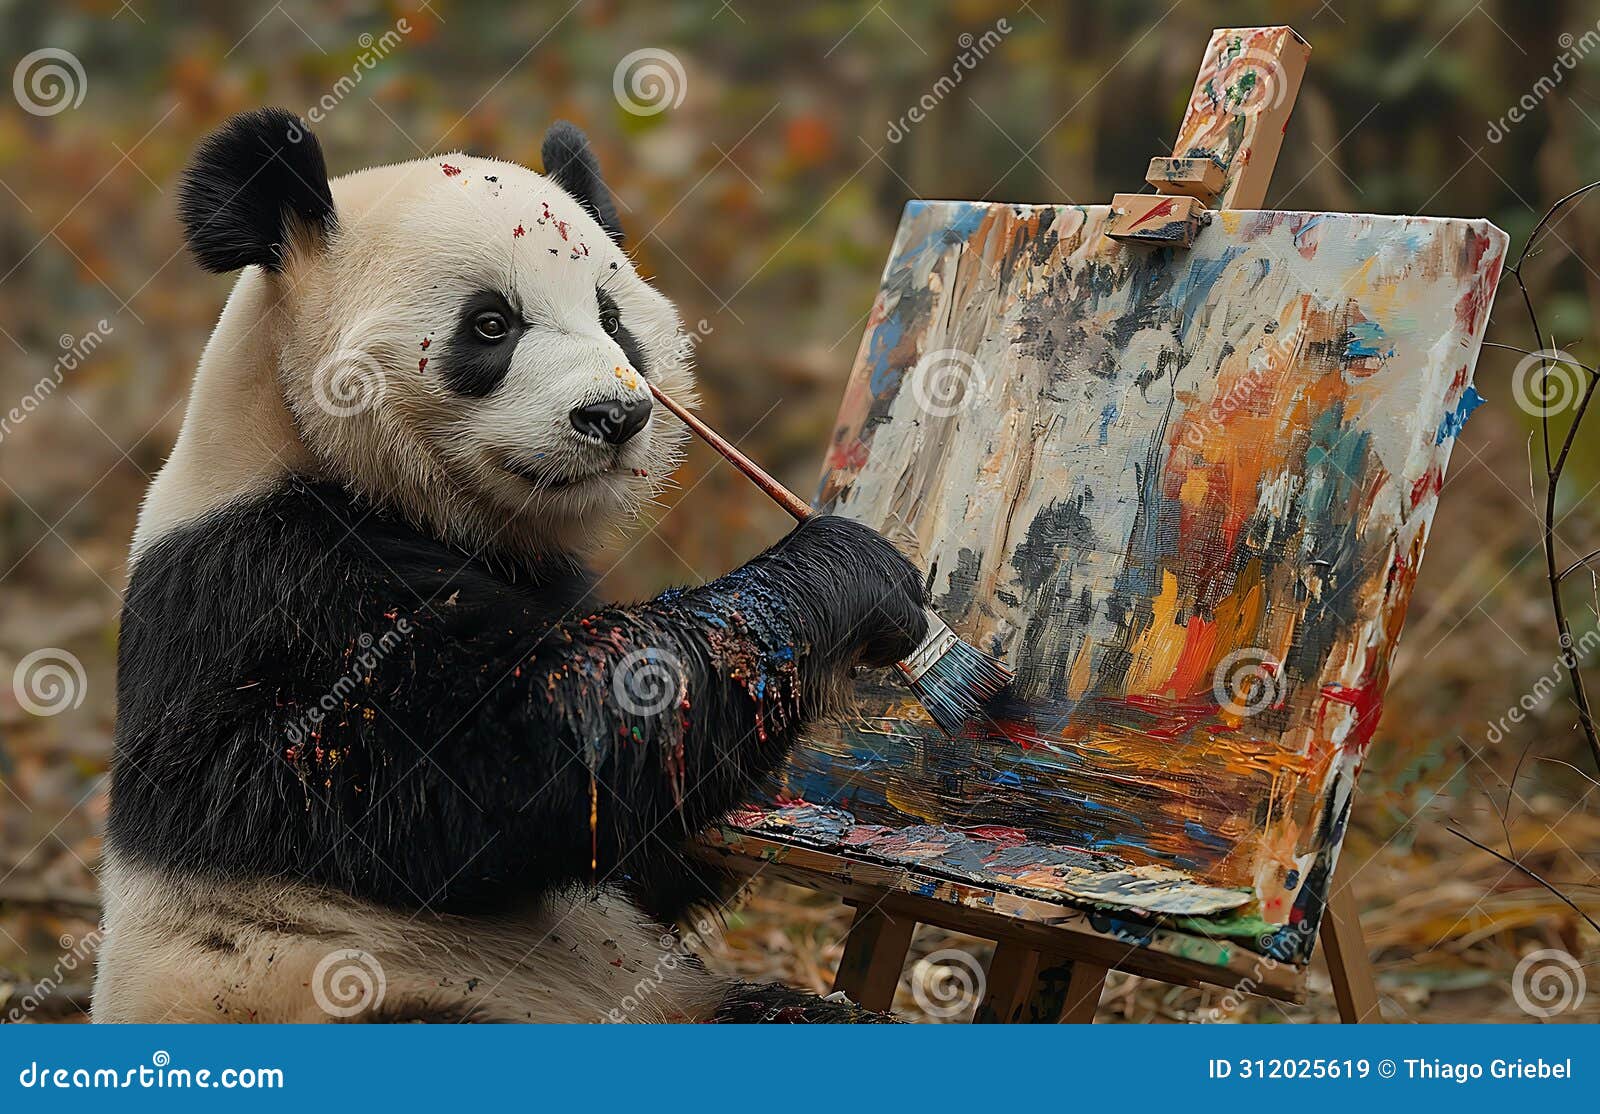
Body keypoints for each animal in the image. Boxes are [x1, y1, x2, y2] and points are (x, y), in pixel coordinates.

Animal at [93, 108, 927, 1023]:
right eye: (491, 324)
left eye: (612, 316)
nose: (616, 415)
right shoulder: (278, 588)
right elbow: (504, 758)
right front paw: (850, 575)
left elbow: (636, 841)